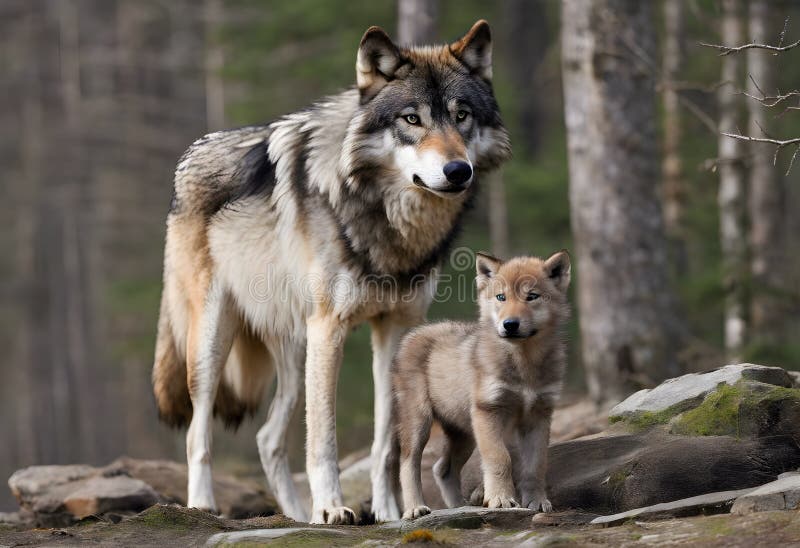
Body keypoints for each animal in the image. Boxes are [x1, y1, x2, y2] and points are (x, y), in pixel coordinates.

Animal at [151, 20, 510, 524]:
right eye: (411, 120)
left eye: (462, 116)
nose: (457, 170)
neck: (386, 218)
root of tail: (190, 153)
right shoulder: (330, 327)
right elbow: (323, 438)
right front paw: (333, 509)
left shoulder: (396, 330)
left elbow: (385, 443)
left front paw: (388, 512)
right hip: (213, 340)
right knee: (196, 430)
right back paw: (203, 506)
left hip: (294, 350)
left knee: (267, 438)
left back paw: (295, 515)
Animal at [393, 250, 571, 519]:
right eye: (501, 297)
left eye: (531, 296)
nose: (510, 324)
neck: (524, 364)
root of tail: (415, 333)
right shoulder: (489, 412)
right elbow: (500, 459)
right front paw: (501, 500)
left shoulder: (538, 417)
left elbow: (535, 465)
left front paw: (537, 502)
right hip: (420, 423)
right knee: (408, 464)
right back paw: (415, 509)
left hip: (464, 433)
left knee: (442, 469)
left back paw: (460, 506)